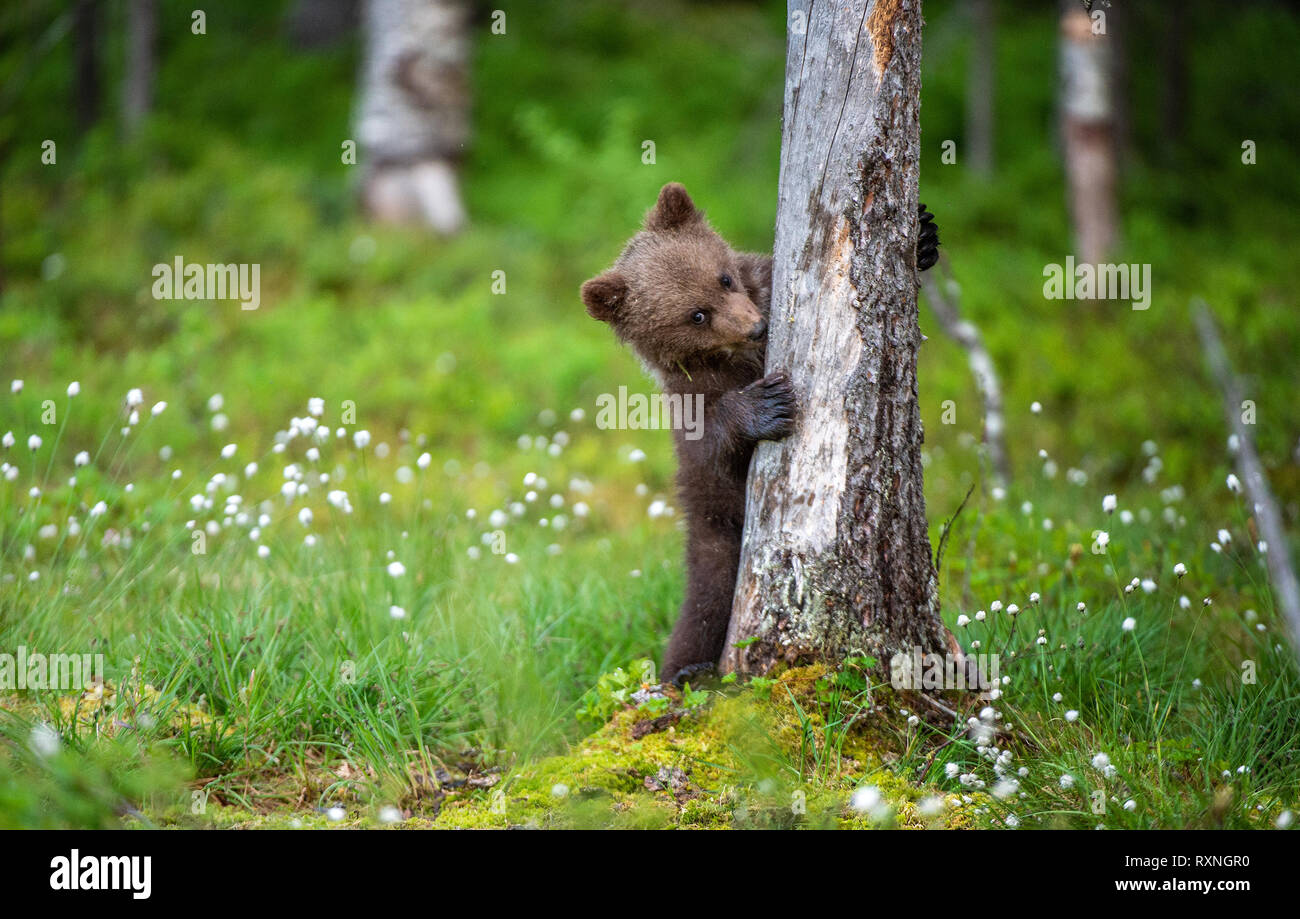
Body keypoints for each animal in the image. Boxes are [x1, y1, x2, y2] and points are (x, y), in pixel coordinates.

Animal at [581, 183, 939, 686]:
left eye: (724, 278)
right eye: (696, 315)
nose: (756, 327)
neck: (739, 359)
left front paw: (924, 235)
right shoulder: (692, 398)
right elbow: (712, 437)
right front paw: (766, 405)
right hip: (714, 527)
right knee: (705, 601)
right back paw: (687, 669)